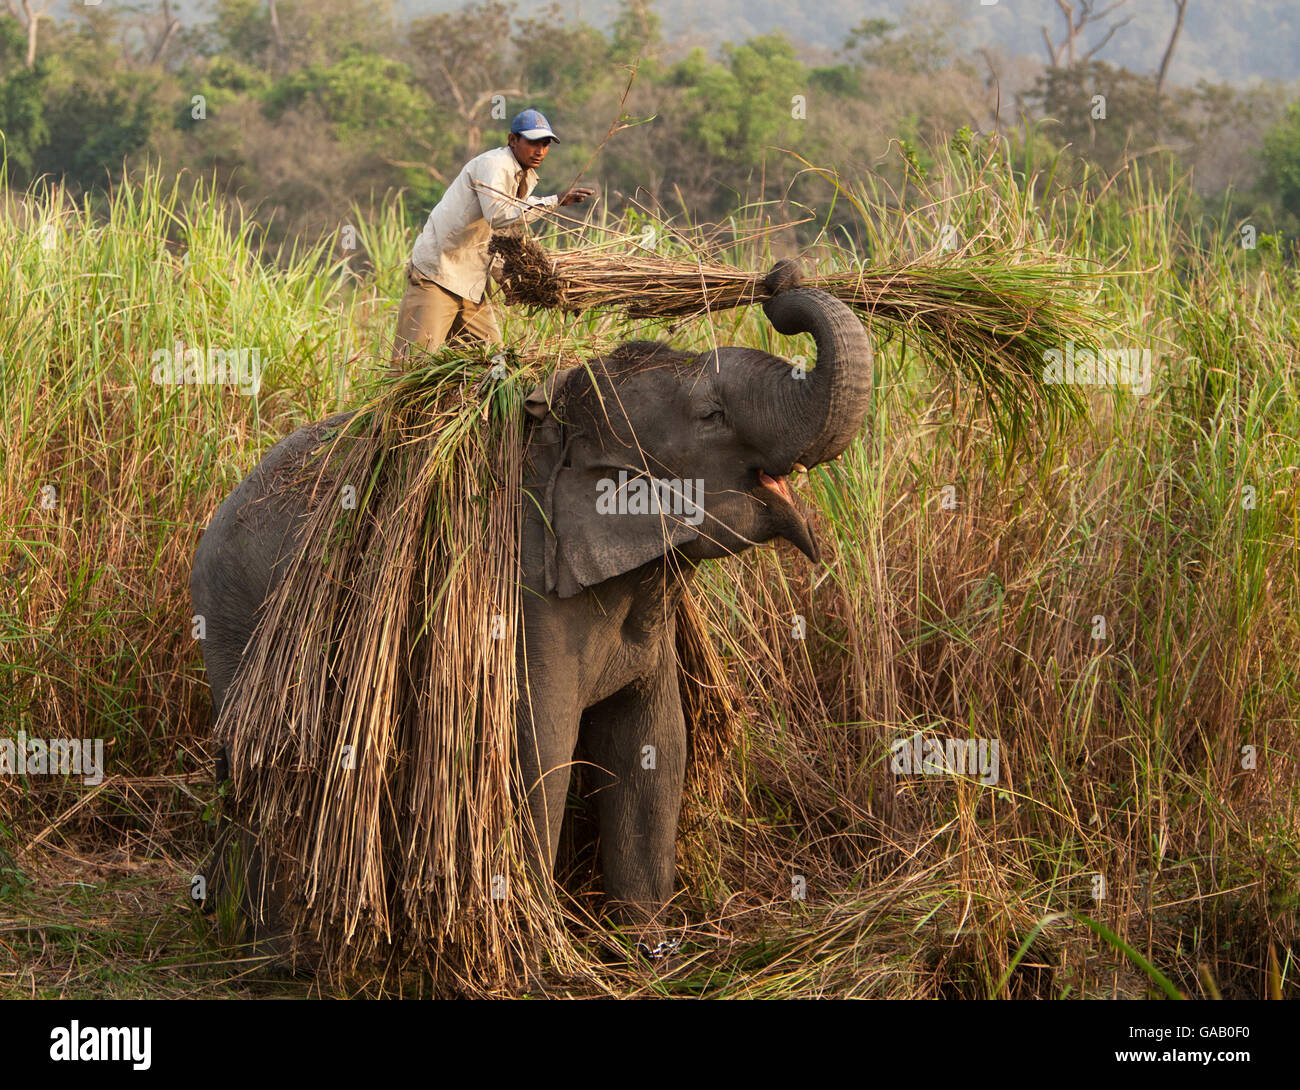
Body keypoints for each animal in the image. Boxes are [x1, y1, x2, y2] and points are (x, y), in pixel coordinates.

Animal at [189, 260, 873, 955]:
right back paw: (275, 947)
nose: (781, 277)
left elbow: (655, 743)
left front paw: (647, 947)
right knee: (267, 763)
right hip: (238, 617)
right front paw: (542, 952)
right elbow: (536, 751)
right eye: (711, 416)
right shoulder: (524, 598)